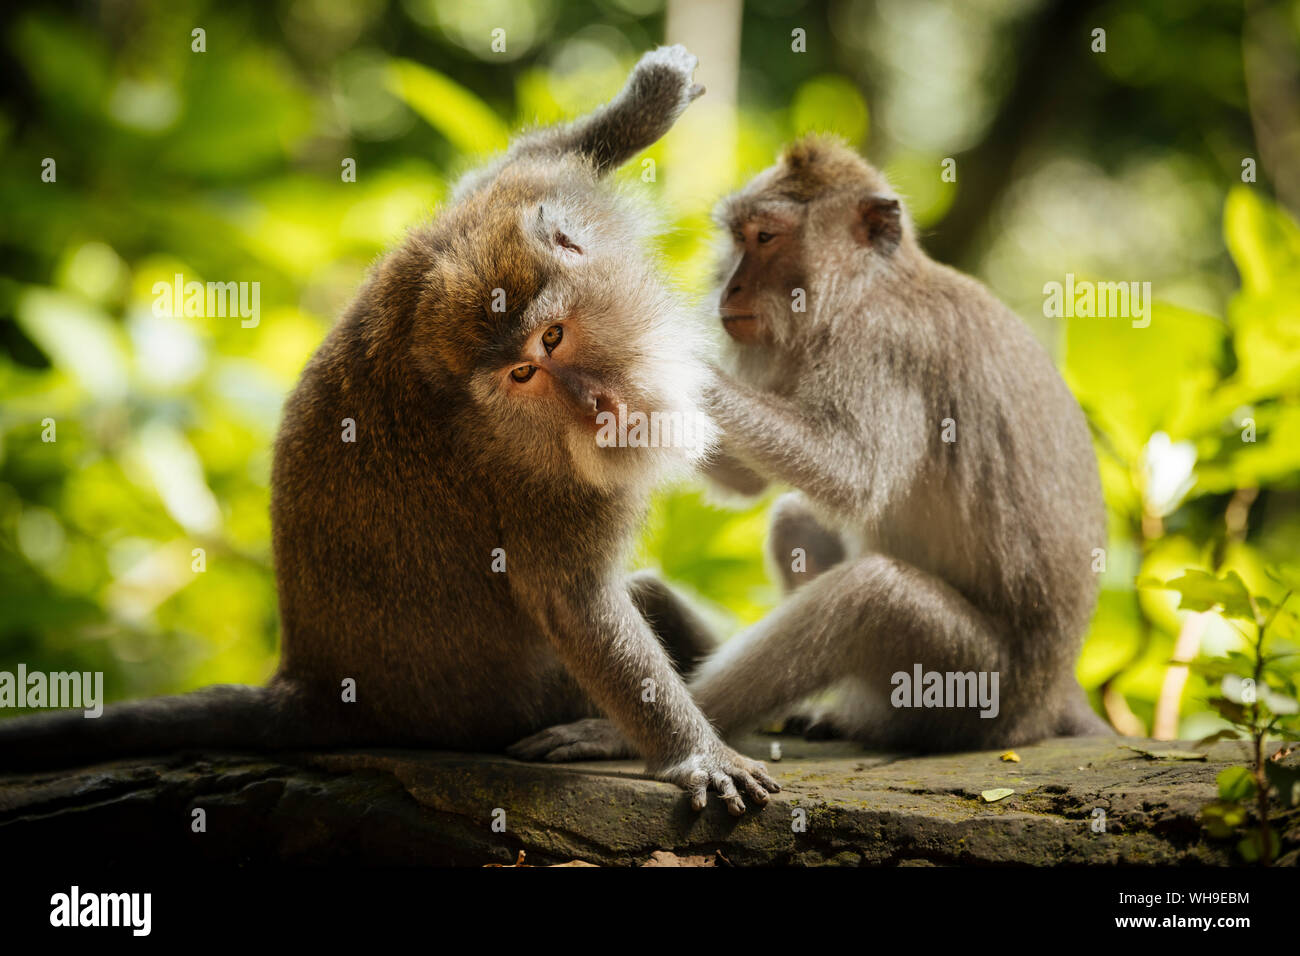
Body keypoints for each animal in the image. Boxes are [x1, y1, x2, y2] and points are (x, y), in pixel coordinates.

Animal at [0, 47, 779, 815]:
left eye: (553, 337)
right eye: (523, 374)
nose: (596, 407)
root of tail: (310, 681)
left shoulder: (504, 205)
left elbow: (505, 168)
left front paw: (643, 107)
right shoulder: (535, 480)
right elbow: (576, 604)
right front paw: (692, 753)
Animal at [510, 135, 1112, 763]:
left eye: (766, 237)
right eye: (739, 237)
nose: (729, 286)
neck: (868, 288)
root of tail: (1052, 698)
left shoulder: (883, 343)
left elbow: (851, 474)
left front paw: (667, 356)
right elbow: (748, 480)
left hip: (980, 685)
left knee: (869, 597)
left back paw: (641, 733)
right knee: (795, 522)